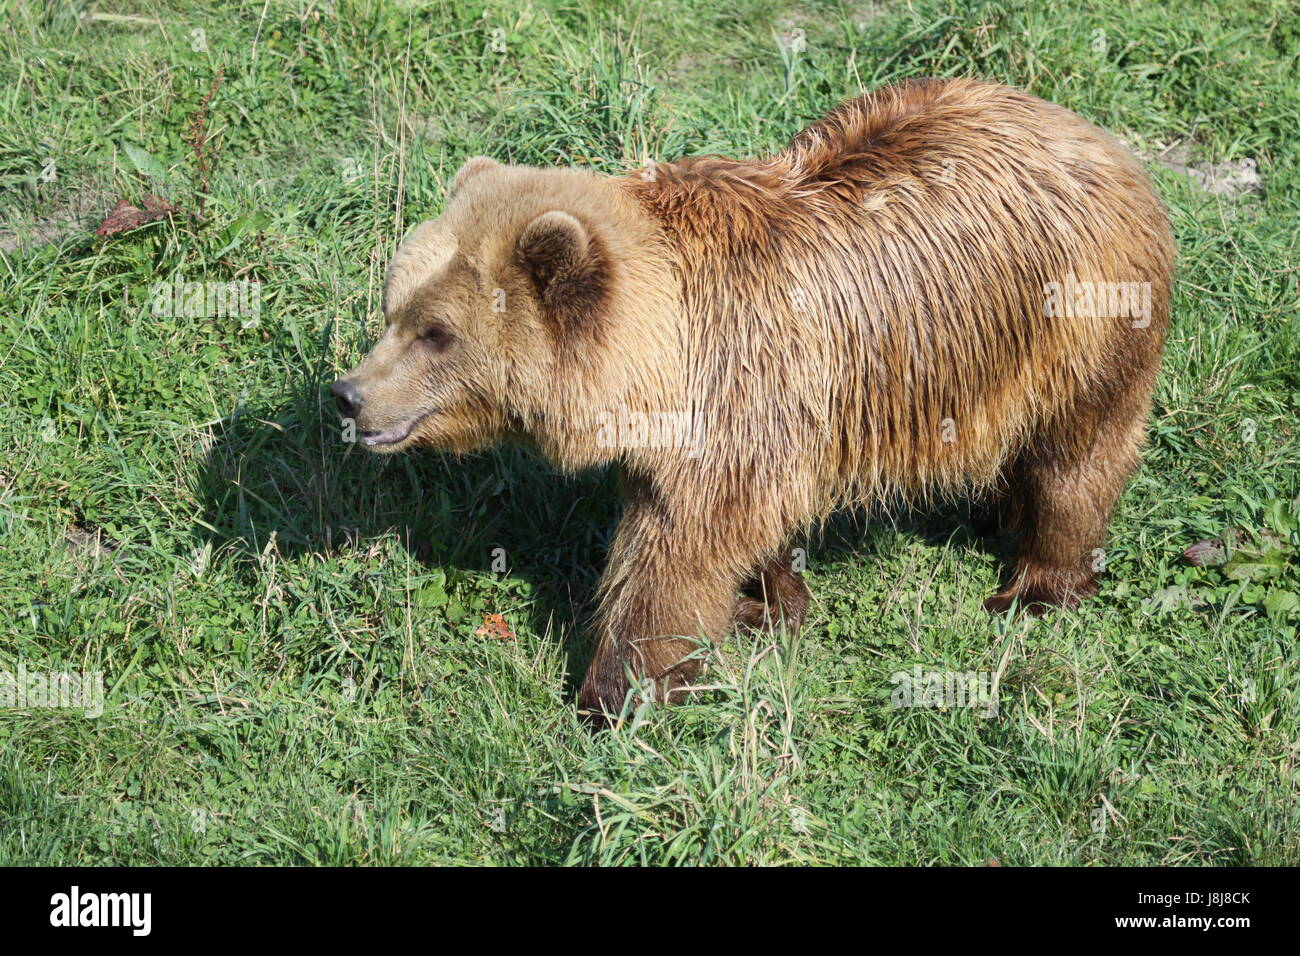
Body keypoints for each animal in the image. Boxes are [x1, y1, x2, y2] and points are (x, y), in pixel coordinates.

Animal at [332, 77, 1174, 719]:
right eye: (393, 306)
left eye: (437, 333)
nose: (349, 396)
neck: (657, 360)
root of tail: (1099, 136)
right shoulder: (736, 427)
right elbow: (752, 524)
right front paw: (767, 603)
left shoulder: (734, 395)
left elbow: (675, 556)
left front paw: (615, 692)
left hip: (1078, 318)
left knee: (1077, 453)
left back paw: (1037, 585)